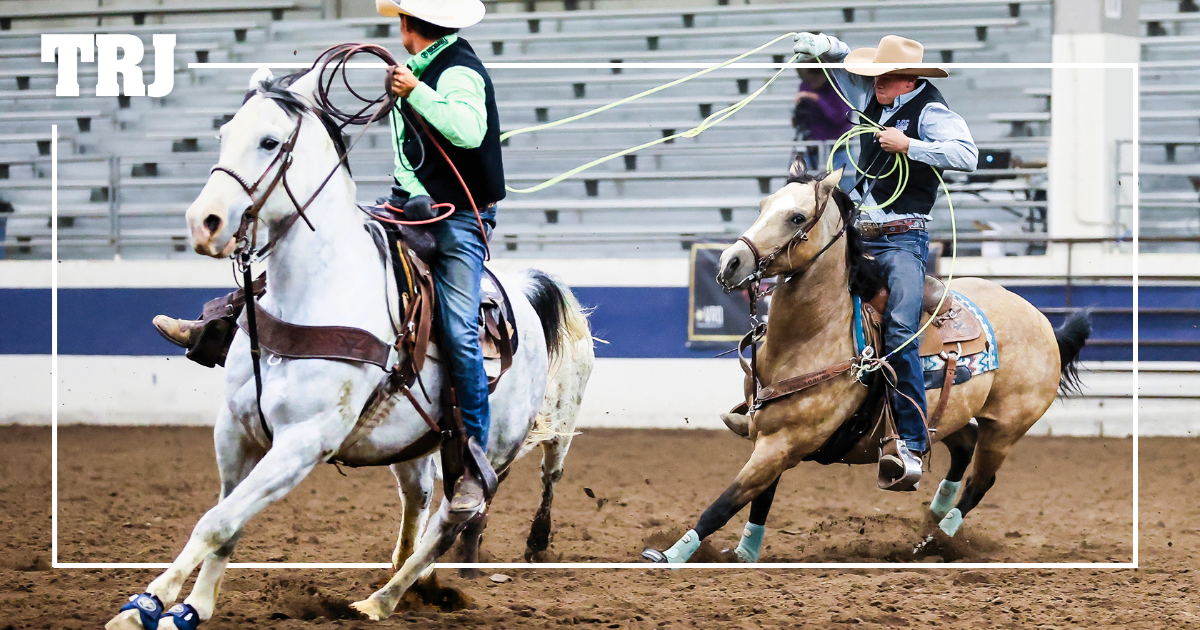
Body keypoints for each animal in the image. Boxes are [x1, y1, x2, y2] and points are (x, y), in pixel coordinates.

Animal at [106, 67, 594, 629]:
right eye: (225, 134)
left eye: (269, 141)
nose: (204, 221)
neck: (316, 292)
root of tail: (523, 297)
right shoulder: (236, 429)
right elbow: (228, 522)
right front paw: (192, 608)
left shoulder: (303, 441)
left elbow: (215, 522)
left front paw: (147, 604)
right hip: (415, 445)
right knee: (418, 500)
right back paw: (406, 578)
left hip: (489, 448)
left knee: (450, 521)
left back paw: (384, 598)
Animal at [643, 165, 1090, 564]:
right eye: (763, 205)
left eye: (797, 217)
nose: (730, 262)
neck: (813, 338)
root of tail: (1043, 322)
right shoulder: (768, 433)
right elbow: (758, 498)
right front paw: (744, 553)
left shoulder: (786, 440)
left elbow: (727, 501)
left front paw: (670, 554)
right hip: (946, 415)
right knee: (962, 446)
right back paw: (933, 513)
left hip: (1006, 428)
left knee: (981, 480)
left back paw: (935, 541)